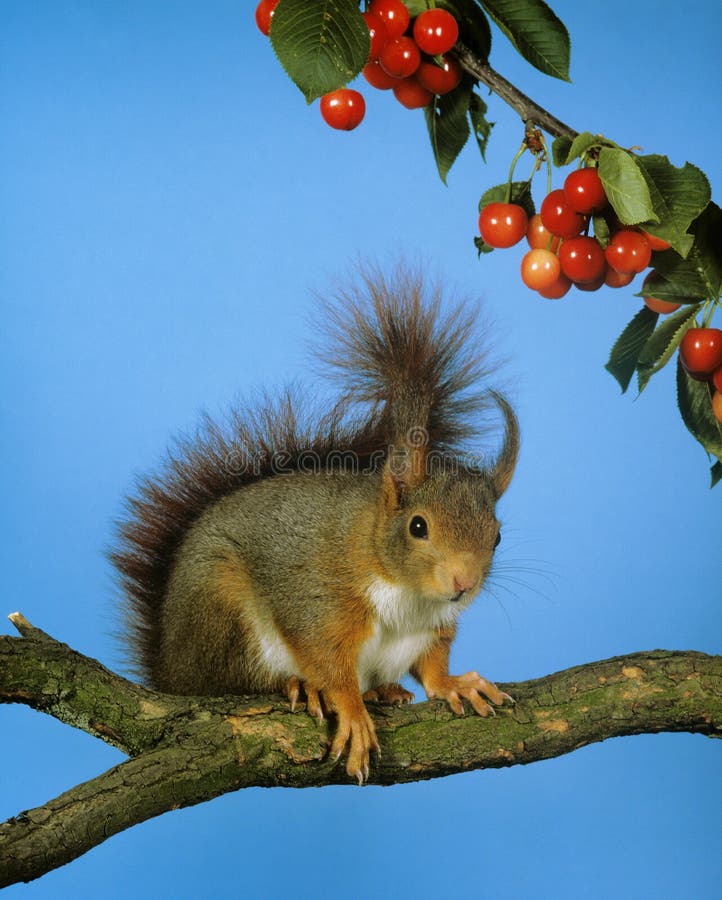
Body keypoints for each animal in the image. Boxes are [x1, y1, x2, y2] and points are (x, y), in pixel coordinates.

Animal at [112, 265, 519, 783]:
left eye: (498, 536)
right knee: (234, 682)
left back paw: (381, 690)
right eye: (417, 527)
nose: (463, 583)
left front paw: (453, 683)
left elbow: (431, 664)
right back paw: (298, 686)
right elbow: (327, 659)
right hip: (222, 609)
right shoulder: (321, 602)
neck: (407, 591)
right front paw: (351, 710)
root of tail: (170, 671)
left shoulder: (432, 627)